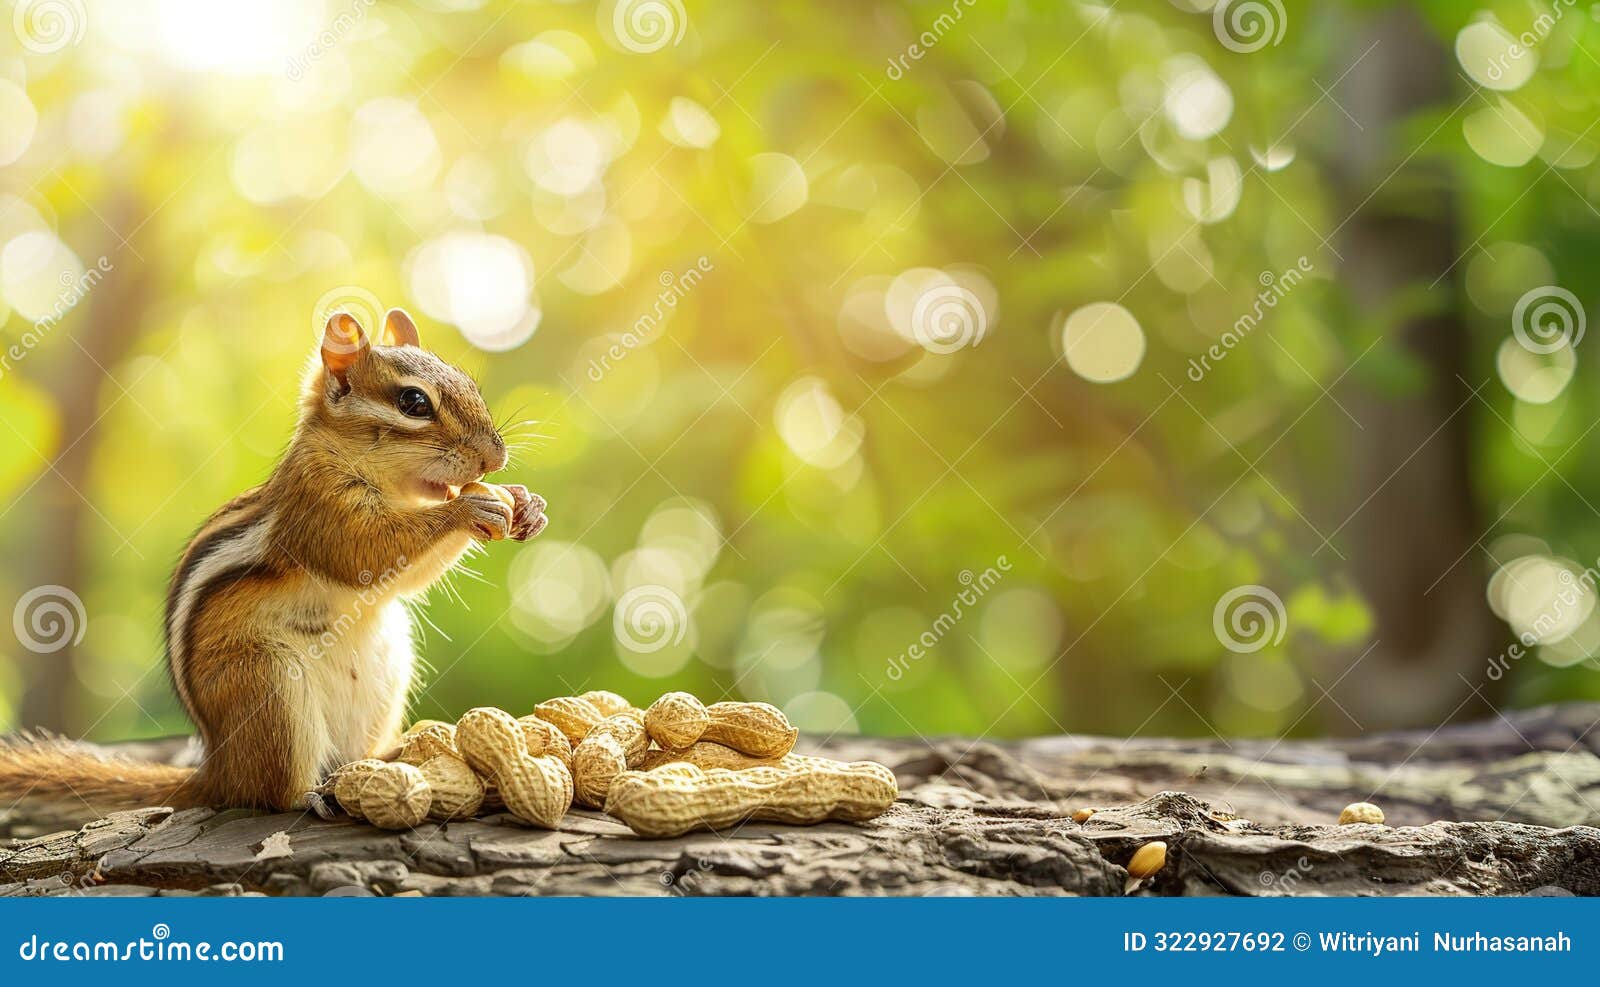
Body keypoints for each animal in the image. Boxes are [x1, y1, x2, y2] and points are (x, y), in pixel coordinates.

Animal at [0, 307, 546, 814]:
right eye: (414, 403)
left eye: (469, 384)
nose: (494, 459)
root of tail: (218, 770)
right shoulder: (320, 509)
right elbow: (370, 551)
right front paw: (469, 509)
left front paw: (526, 503)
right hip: (270, 685)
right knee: (273, 793)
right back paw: (312, 795)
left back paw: (392, 756)